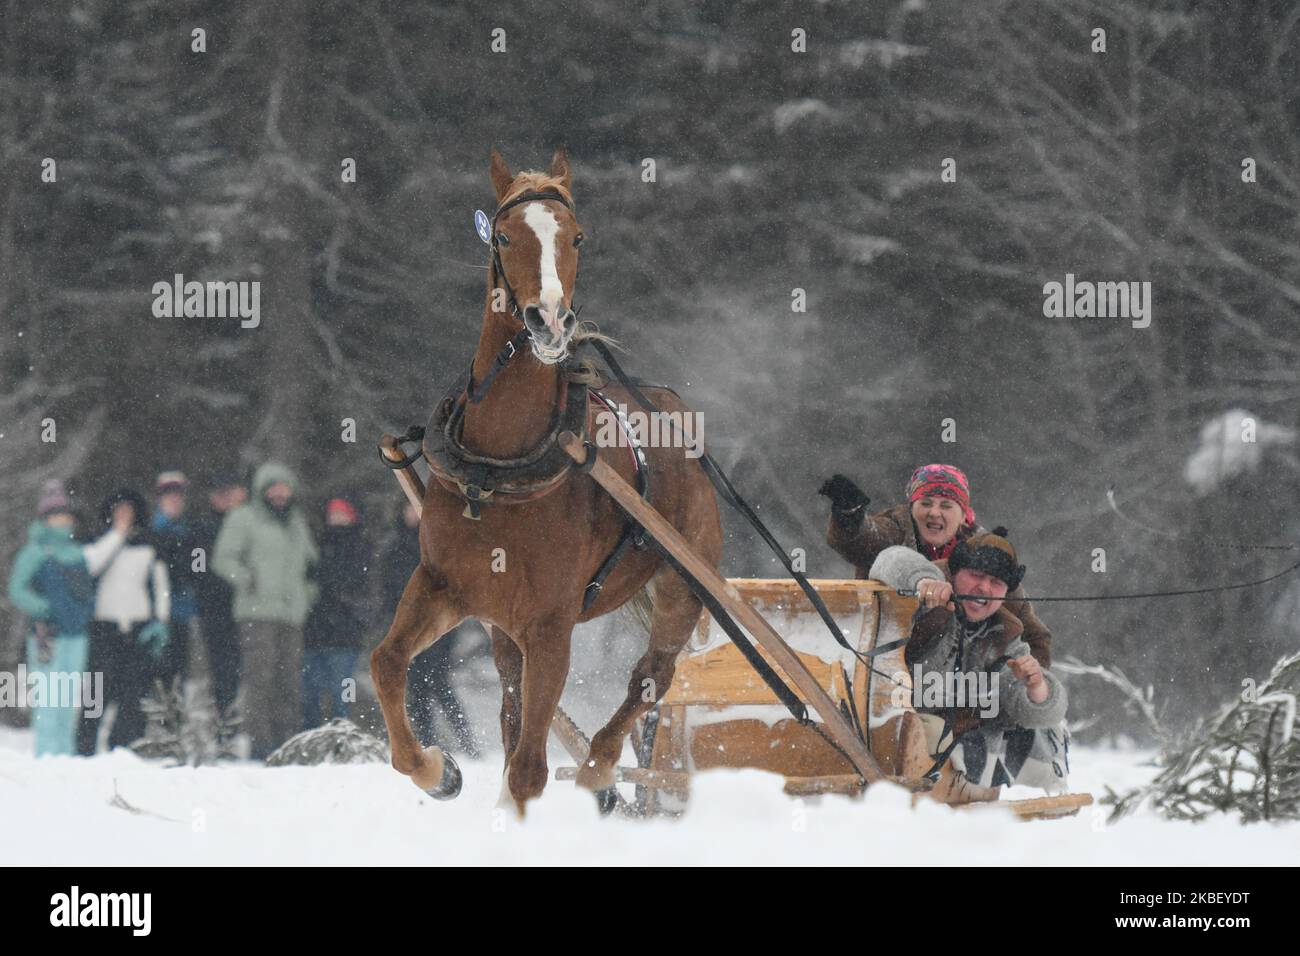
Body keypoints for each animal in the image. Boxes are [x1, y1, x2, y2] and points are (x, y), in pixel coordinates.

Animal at [370, 148, 723, 815]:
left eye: (576, 236)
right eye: (504, 236)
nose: (550, 320)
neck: (497, 469)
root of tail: (669, 405)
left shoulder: (552, 624)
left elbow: (532, 768)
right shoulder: (443, 586)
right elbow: (387, 661)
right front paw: (436, 769)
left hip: (683, 583)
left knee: (651, 677)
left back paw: (599, 765)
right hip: (505, 631)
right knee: (512, 710)